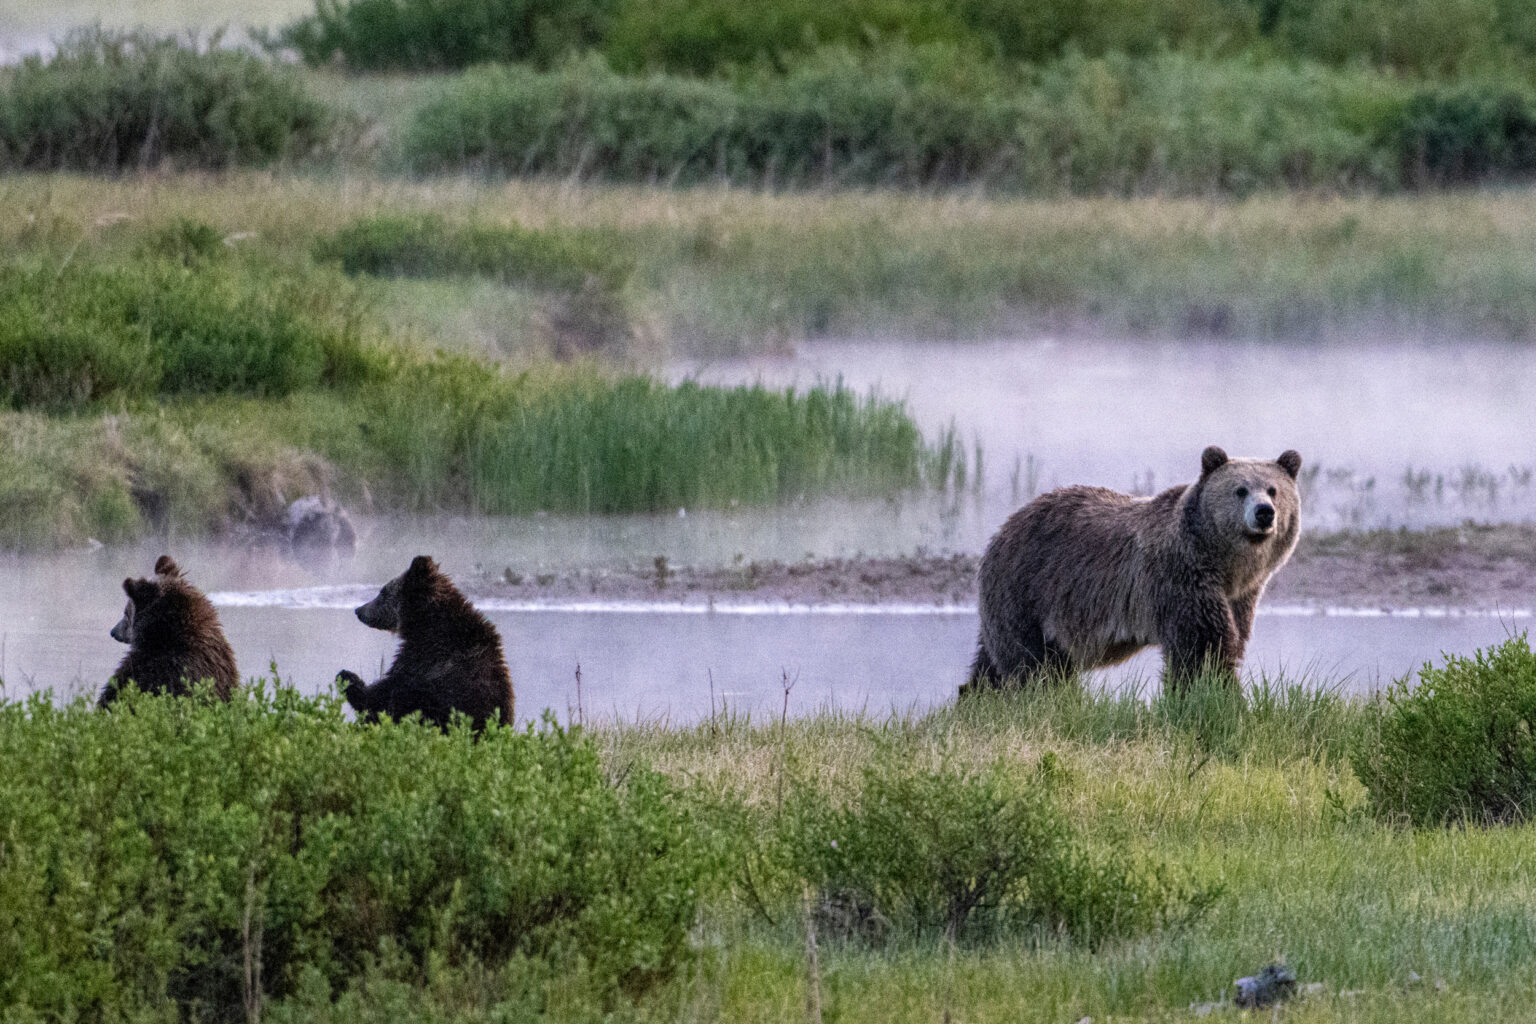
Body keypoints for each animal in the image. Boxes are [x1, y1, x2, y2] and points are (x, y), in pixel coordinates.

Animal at [336, 555, 515, 731]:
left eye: (383, 592)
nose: (359, 610)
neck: (425, 623)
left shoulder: (425, 658)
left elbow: (381, 697)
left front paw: (347, 677)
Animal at [962, 446, 1302, 695]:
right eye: (1240, 490)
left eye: (1273, 490)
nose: (1264, 513)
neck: (1226, 566)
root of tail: (1004, 527)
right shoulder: (1180, 578)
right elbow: (1202, 648)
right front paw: (1219, 696)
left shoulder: (1239, 596)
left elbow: (1231, 638)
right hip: (1028, 589)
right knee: (1031, 661)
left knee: (991, 660)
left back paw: (976, 695)